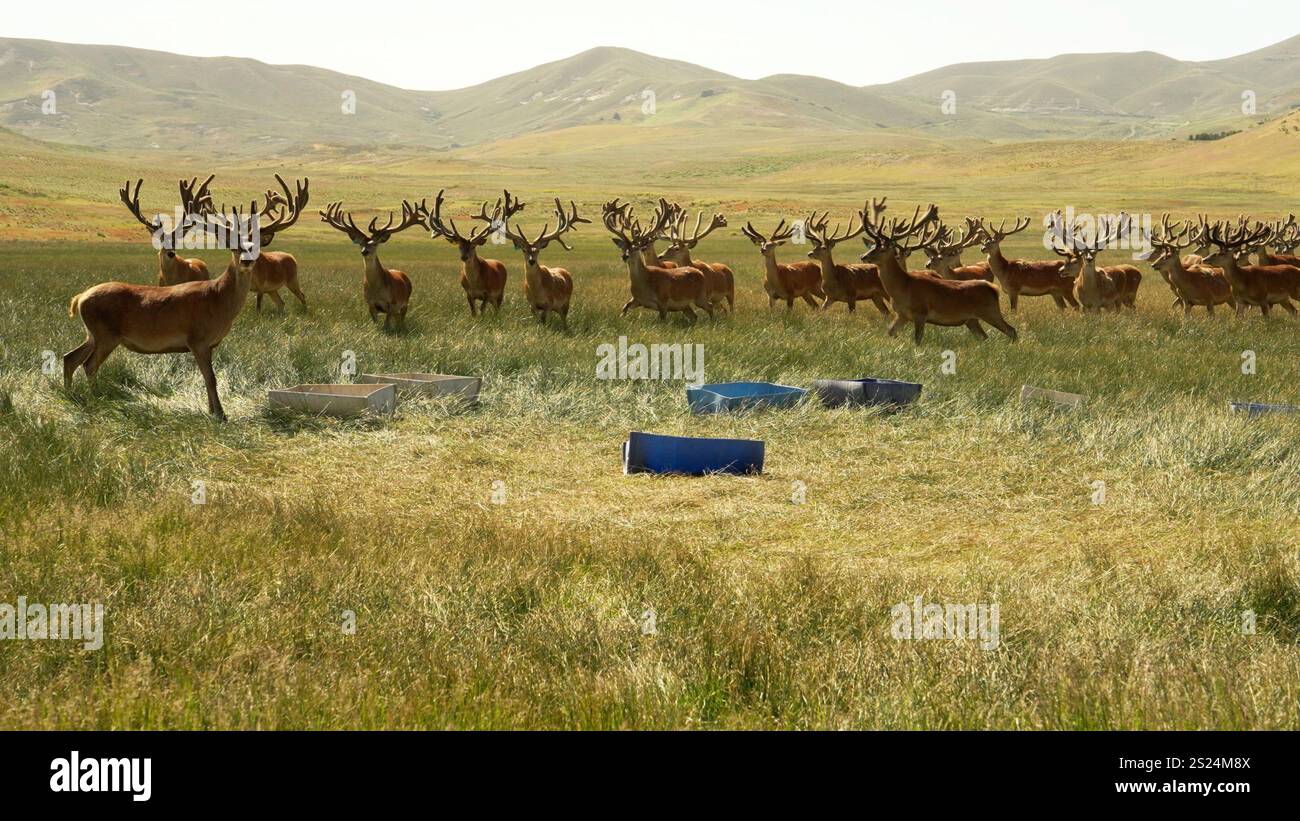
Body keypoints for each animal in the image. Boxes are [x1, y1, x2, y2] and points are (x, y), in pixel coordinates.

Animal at [65, 175, 309, 420]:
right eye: (234, 247)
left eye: (255, 245)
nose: (247, 260)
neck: (219, 300)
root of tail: (80, 298)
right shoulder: (197, 338)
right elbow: (211, 378)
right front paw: (220, 415)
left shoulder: (209, 344)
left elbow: (208, 378)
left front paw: (212, 410)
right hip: (106, 333)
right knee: (89, 365)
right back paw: (95, 398)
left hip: (94, 334)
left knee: (70, 357)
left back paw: (69, 395)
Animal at [320, 199, 422, 330]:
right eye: (361, 244)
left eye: (374, 244)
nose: (364, 251)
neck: (377, 290)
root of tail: (404, 274)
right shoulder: (370, 303)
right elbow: (376, 324)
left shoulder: (392, 303)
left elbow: (386, 324)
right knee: (398, 319)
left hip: (405, 302)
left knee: (402, 319)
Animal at [504, 196, 587, 328]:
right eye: (524, 250)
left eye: (537, 250)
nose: (531, 261)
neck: (536, 290)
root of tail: (565, 272)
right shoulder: (531, 304)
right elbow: (538, 320)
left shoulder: (549, 303)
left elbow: (543, 319)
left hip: (566, 302)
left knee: (564, 319)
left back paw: (565, 328)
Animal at [859, 200, 1016, 344]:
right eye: (871, 247)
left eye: (883, 249)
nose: (863, 256)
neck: (902, 287)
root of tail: (993, 290)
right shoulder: (902, 315)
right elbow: (890, 332)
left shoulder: (920, 313)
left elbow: (918, 340)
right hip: (971, 319)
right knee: (984, 336)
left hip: (990, 311)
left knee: (1011, 330)